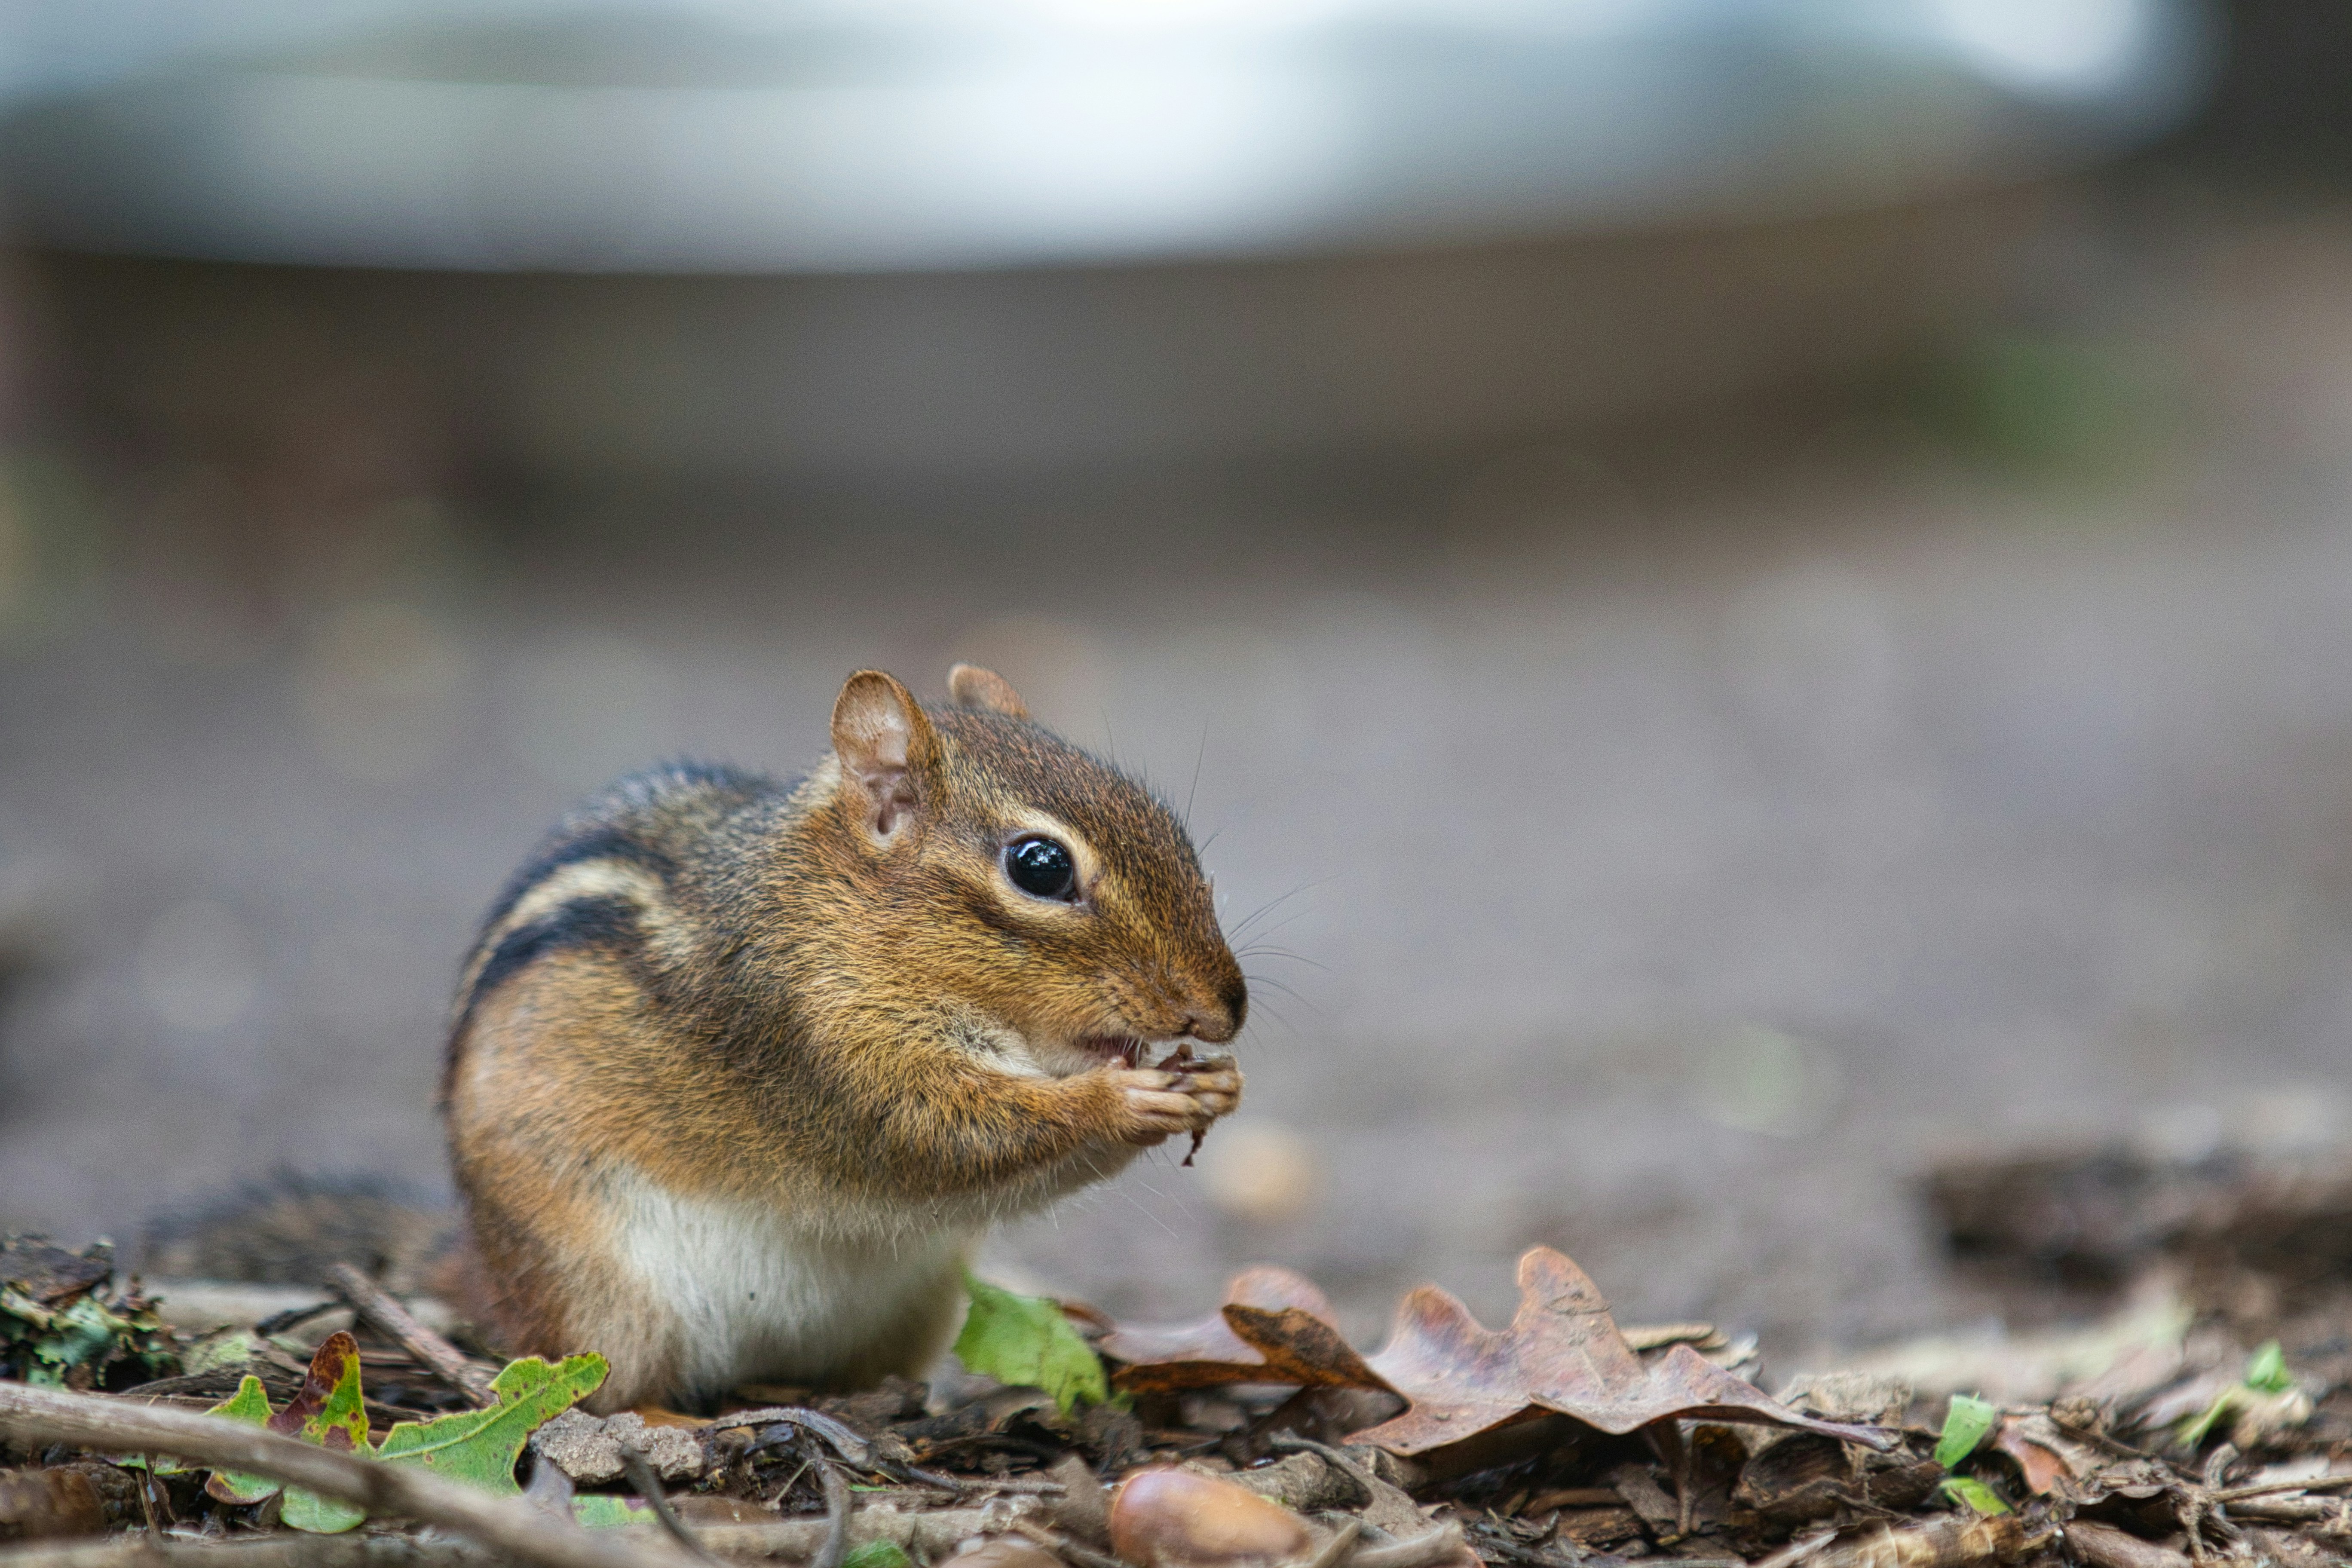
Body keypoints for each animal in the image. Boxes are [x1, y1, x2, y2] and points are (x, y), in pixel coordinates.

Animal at [438, 664, 1247, 1413]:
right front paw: (1124, 1097)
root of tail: (480, 1266)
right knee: (603, 1390)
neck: (836, 912)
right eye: (1039, 866)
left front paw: (1214, 1083)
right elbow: (945, 1134)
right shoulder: (820, 1047)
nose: (1227, 1009)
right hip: (601, 1297)